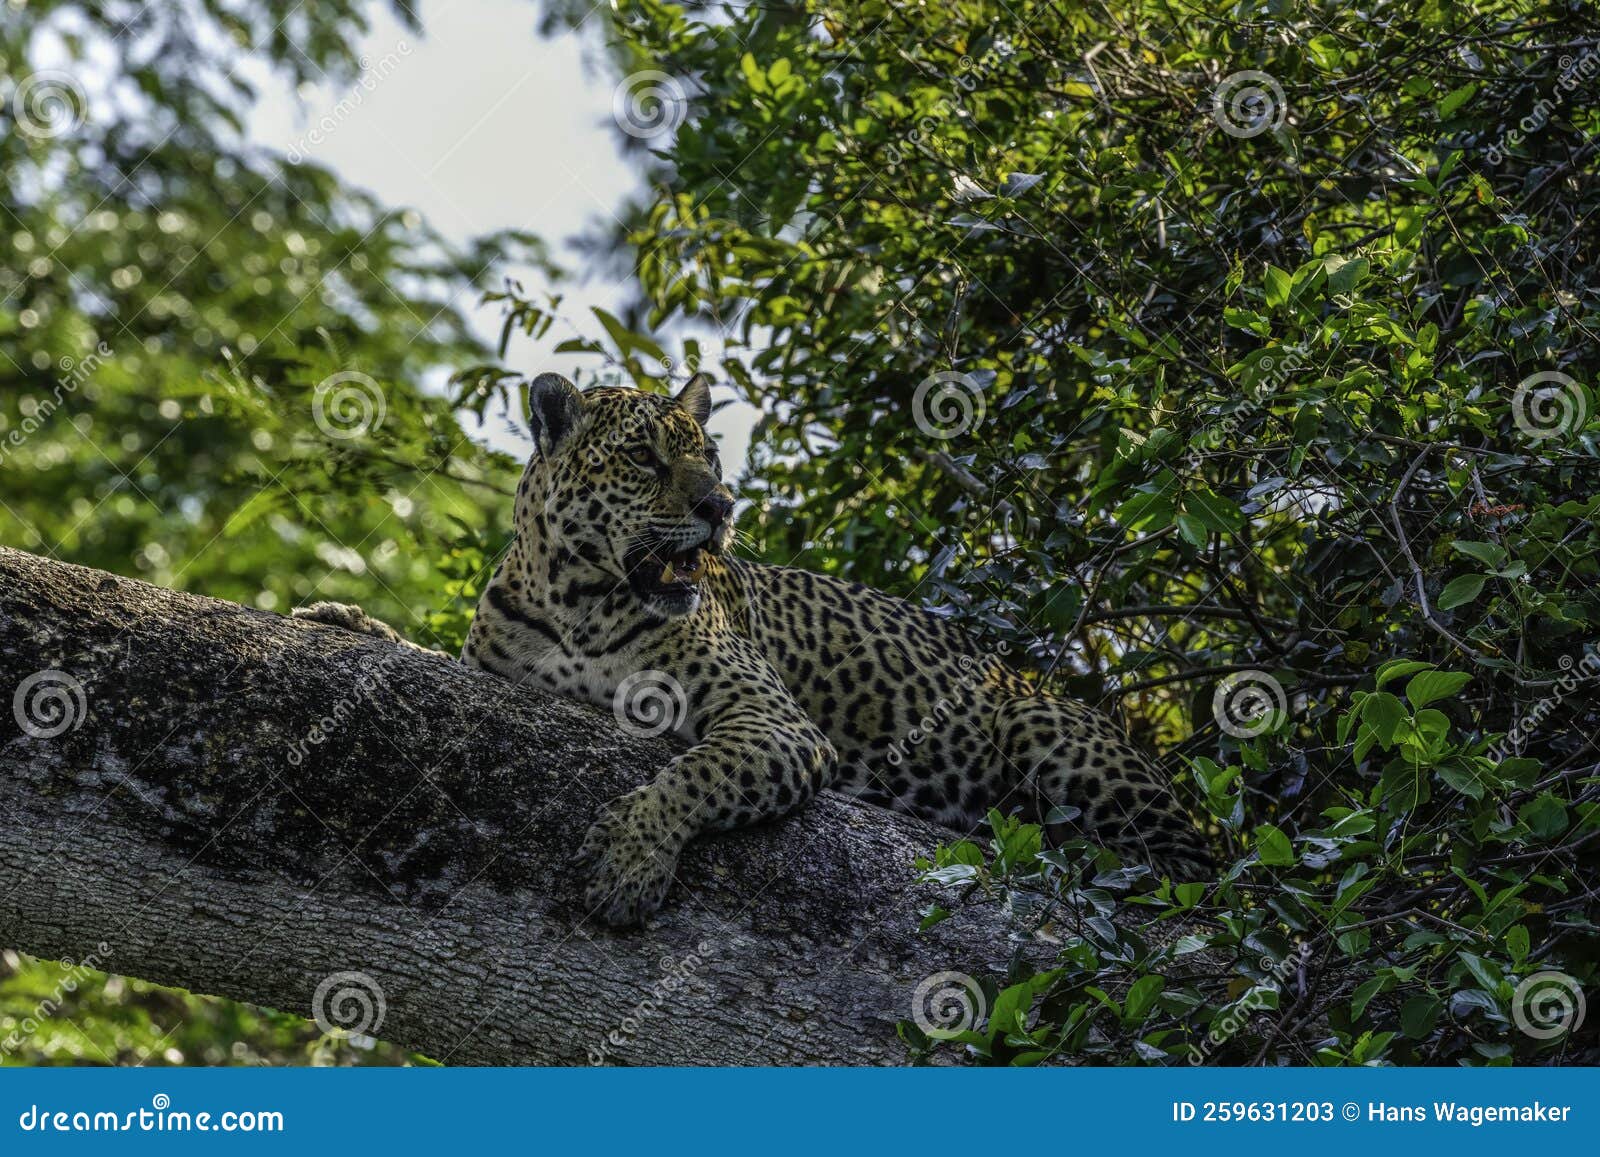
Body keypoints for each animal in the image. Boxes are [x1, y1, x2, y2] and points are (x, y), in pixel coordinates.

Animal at [297, 372, 1213, 927]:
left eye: (709, 454)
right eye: (644, 457)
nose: (721, 505)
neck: (577, 598)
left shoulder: (772, 721)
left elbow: (697, 772)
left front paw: (630, 859)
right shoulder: (496, 673)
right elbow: (433, 658)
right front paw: (348, 619)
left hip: (1041, 727)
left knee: (1192, 867)